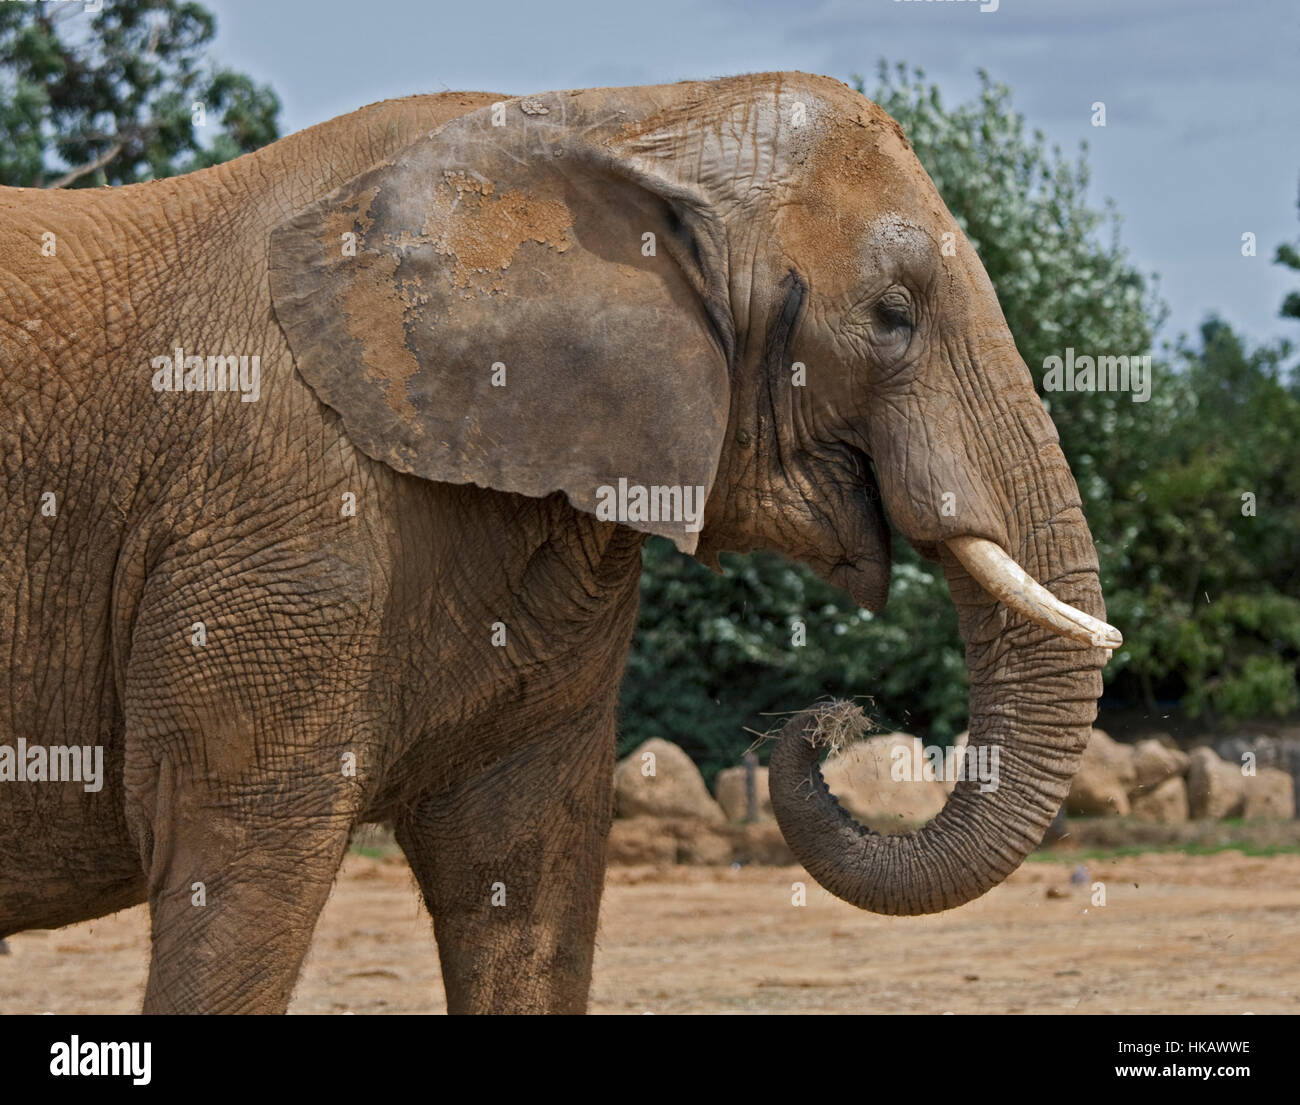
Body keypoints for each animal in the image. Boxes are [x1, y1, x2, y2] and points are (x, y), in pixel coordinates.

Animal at [0, 72, 1119, 1014]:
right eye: (893, 315)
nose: (832, 722)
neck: (616, 119)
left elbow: (521, 868)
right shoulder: (276, 527)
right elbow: (233, 865)